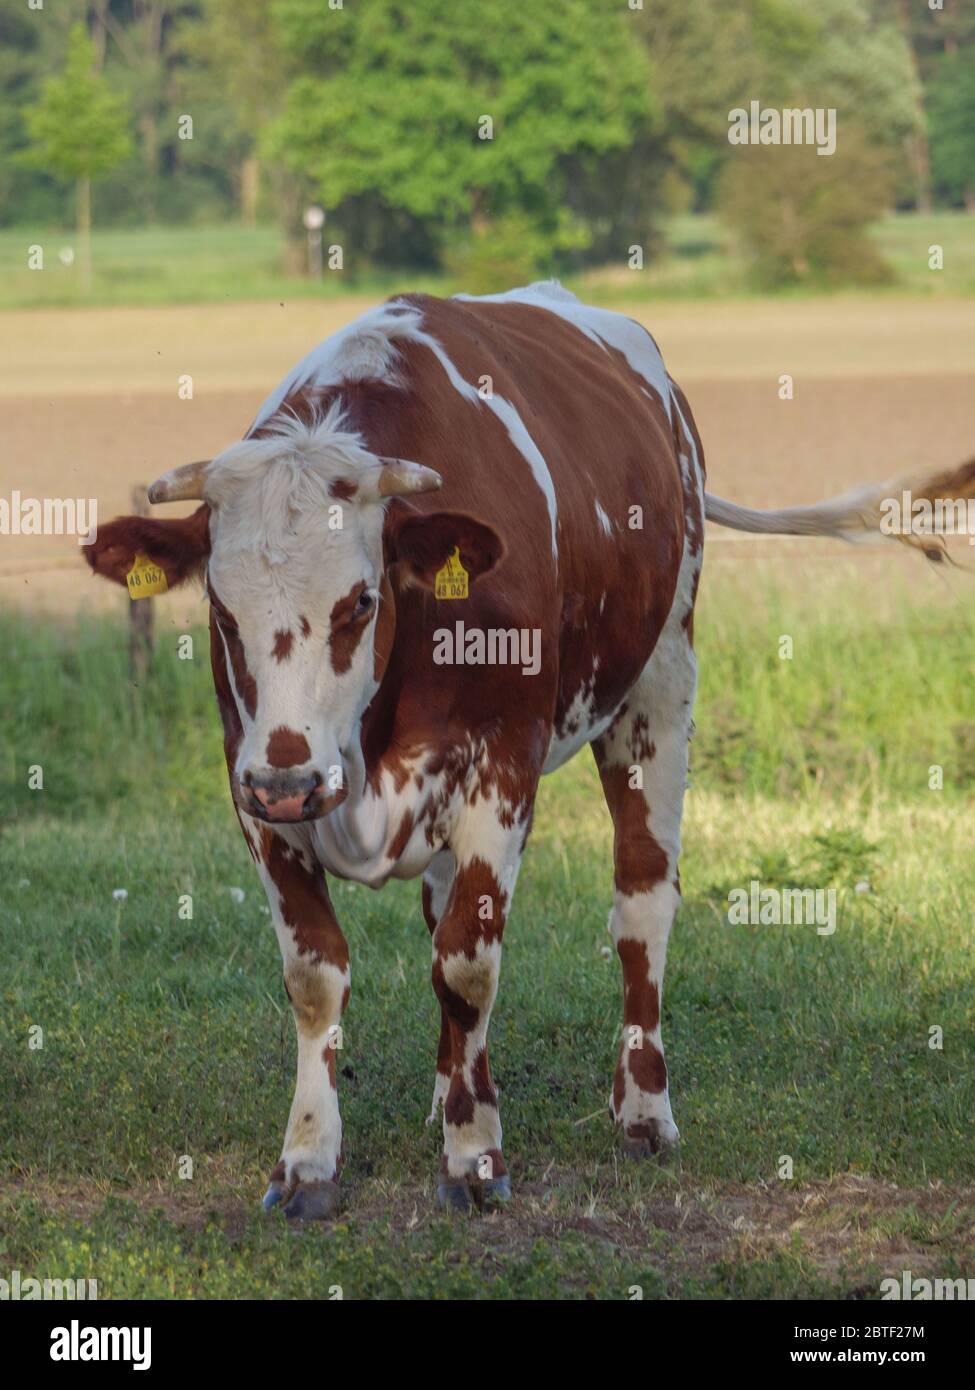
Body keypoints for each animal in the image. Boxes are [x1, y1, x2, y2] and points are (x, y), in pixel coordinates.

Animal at [84, 282, 975, 1218]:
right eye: (221, 611)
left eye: (359, 602)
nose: (291, 779)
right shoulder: (252, 784)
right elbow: (318, 974)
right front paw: (308, 1160)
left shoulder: (500, 768)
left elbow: (469, 964)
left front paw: (474, 1155)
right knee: (442, 914)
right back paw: (447, 1086)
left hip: (661, 679)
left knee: (640, 908)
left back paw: (641, 1111)